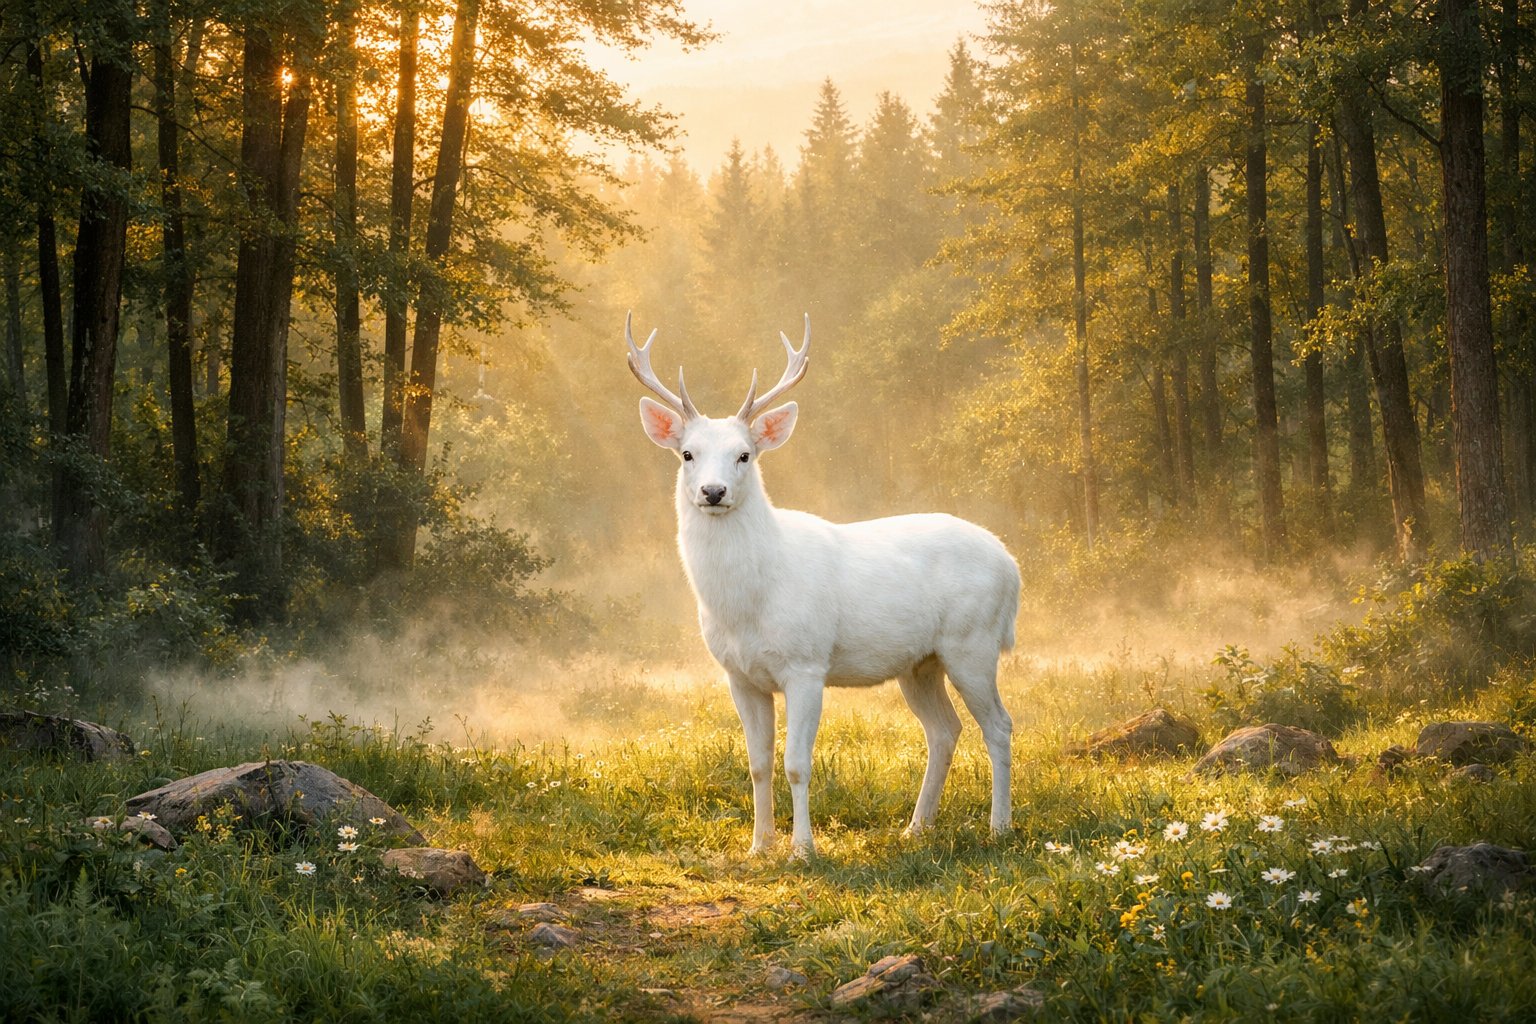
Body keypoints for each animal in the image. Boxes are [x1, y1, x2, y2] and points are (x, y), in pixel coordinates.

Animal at [627, 313, 1020, 858]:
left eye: (744, 455)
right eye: (687, 453)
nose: (713, 491)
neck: (747, 604)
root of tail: (1012, 565)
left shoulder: (806, 663)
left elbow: (796, 763)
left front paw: (803, 849)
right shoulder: (739, 675)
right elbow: (757, 764)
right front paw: (759, 847)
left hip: (973, 643)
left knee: (999, 725)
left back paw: (998, 827)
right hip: (920, 663)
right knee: (945, 730)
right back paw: (916, 827)